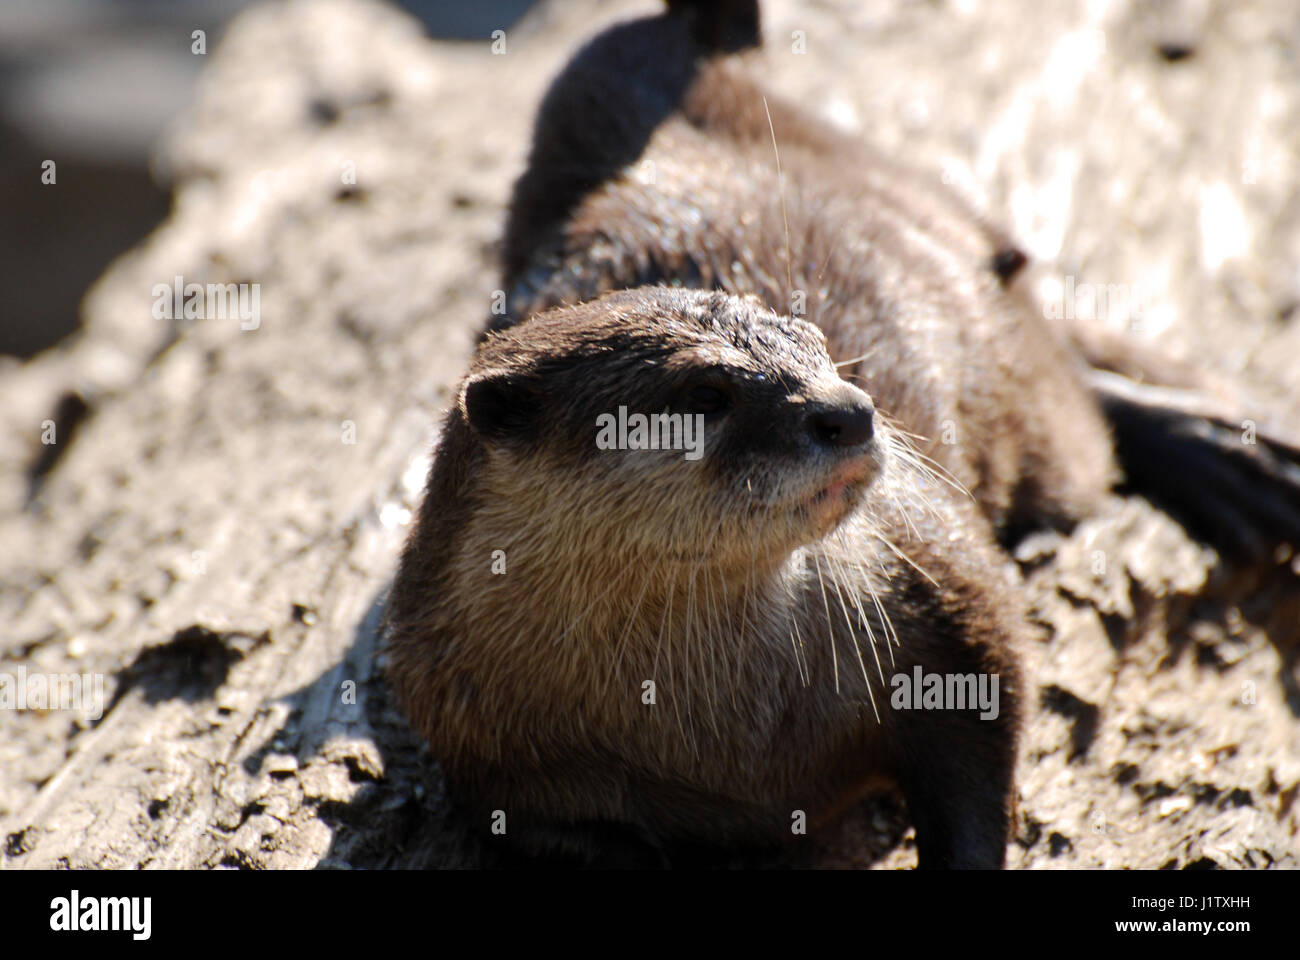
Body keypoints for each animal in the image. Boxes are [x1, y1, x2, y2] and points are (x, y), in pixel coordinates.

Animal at [385, 0, 1300, 868]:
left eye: (816, 344)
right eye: (706, 392)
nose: (852, 410)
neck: (727, 735)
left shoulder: (941, 592)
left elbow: (985, 727)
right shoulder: (483, 758)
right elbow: (549, 834)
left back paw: (1231, 455)